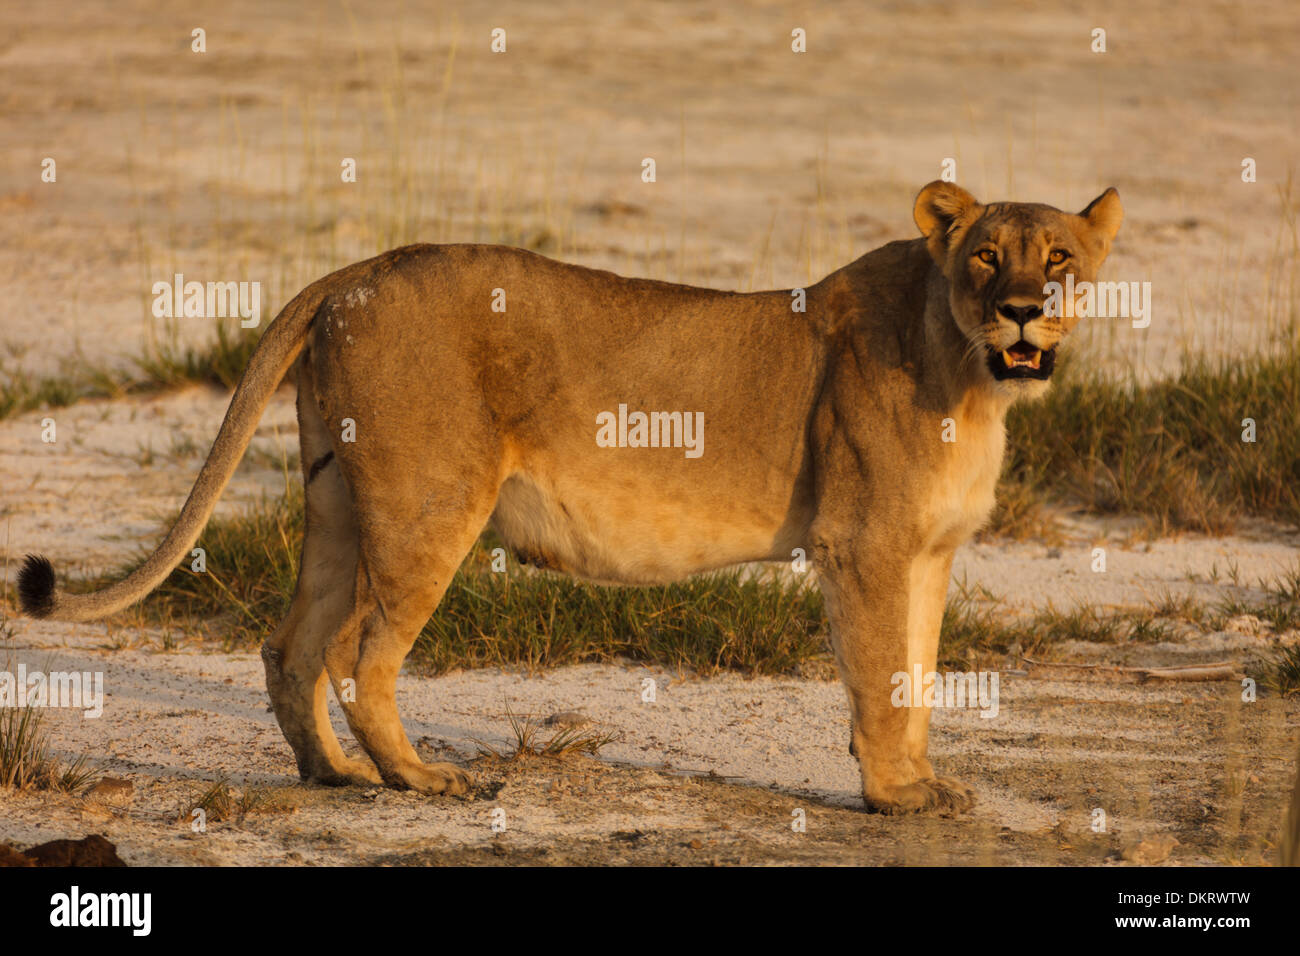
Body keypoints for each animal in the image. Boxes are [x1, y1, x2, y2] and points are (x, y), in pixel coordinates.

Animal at [18, 181, 1122, 812]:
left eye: (1059, 258)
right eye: (986, 256)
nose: (1023, 309)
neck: (973, 375)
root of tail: (357, 268)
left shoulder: (929, 551)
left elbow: (921, 675)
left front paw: (925, 782)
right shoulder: (865, 543)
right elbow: (886, 679)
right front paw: (896, 795)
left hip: (336, 501)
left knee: (293, 646)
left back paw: (335, 776)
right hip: (431, 505)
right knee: (361, 658)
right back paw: (427, 780)